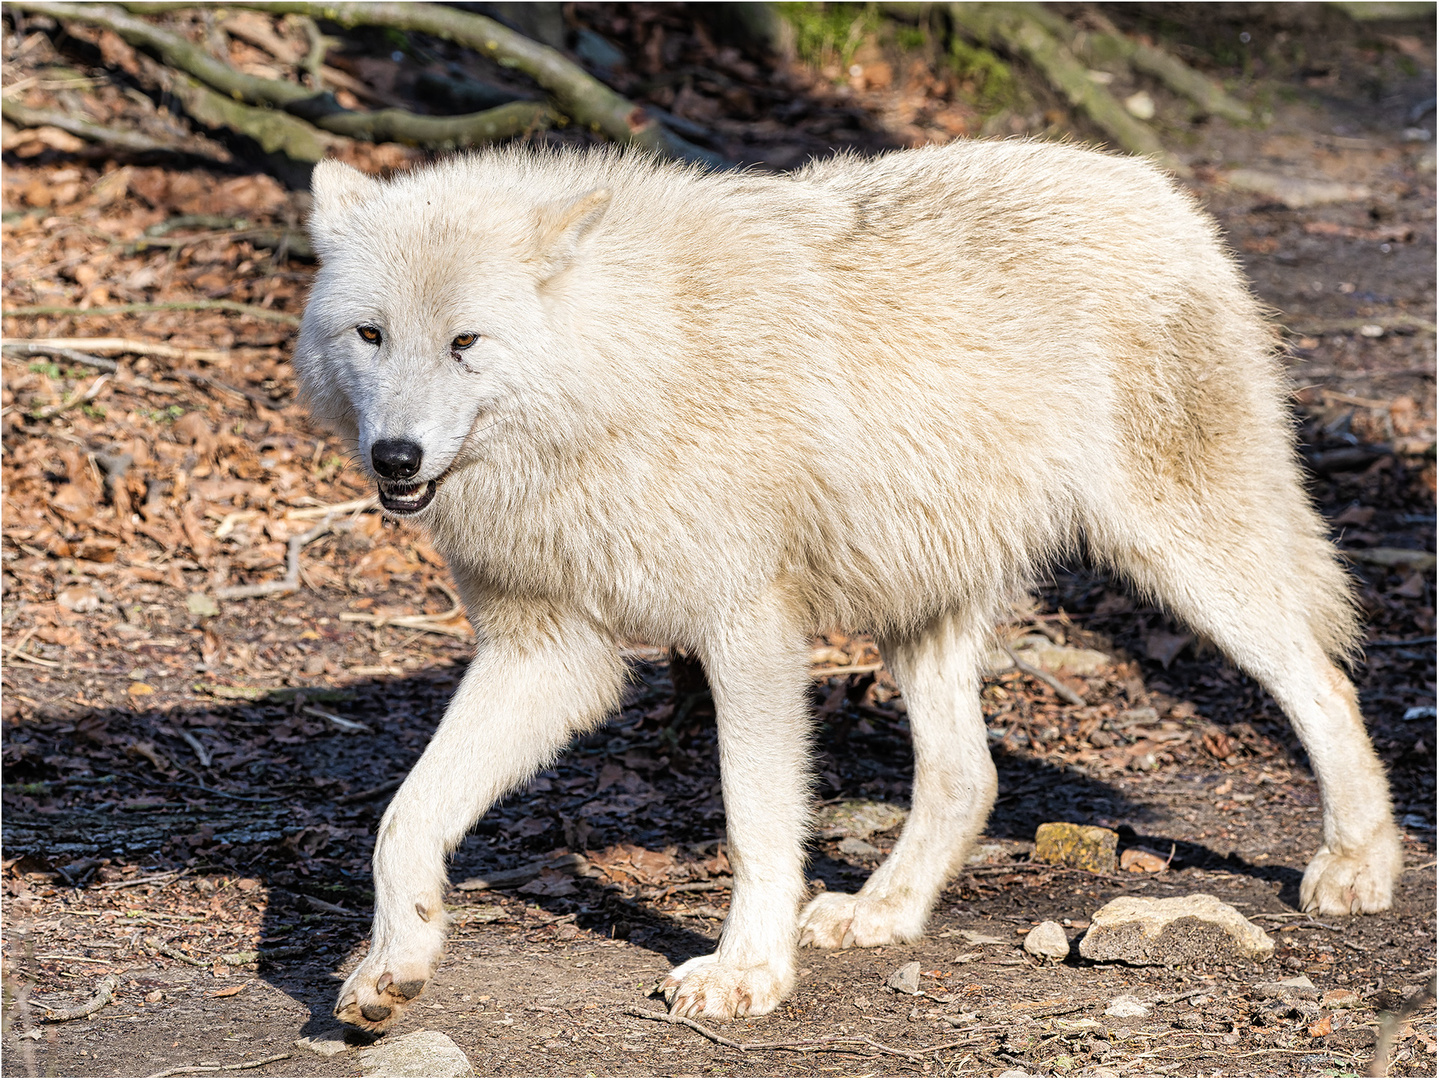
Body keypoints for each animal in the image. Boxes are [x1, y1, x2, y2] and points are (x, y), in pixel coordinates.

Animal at [293, 140, 1402, 1029]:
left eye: (465, 342)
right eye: (371, 335)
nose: (395, 459)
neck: (621, 372)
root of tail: (1153, 185)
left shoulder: (747, 634)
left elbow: (753, 825)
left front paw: (745, 974)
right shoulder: (549, 653)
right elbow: (401, 820)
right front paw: (390, 972)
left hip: (1180, 560)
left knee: (1321, 678)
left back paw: (1358, 863)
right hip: (921, 611)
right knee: (967, 778)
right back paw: (879, 912)